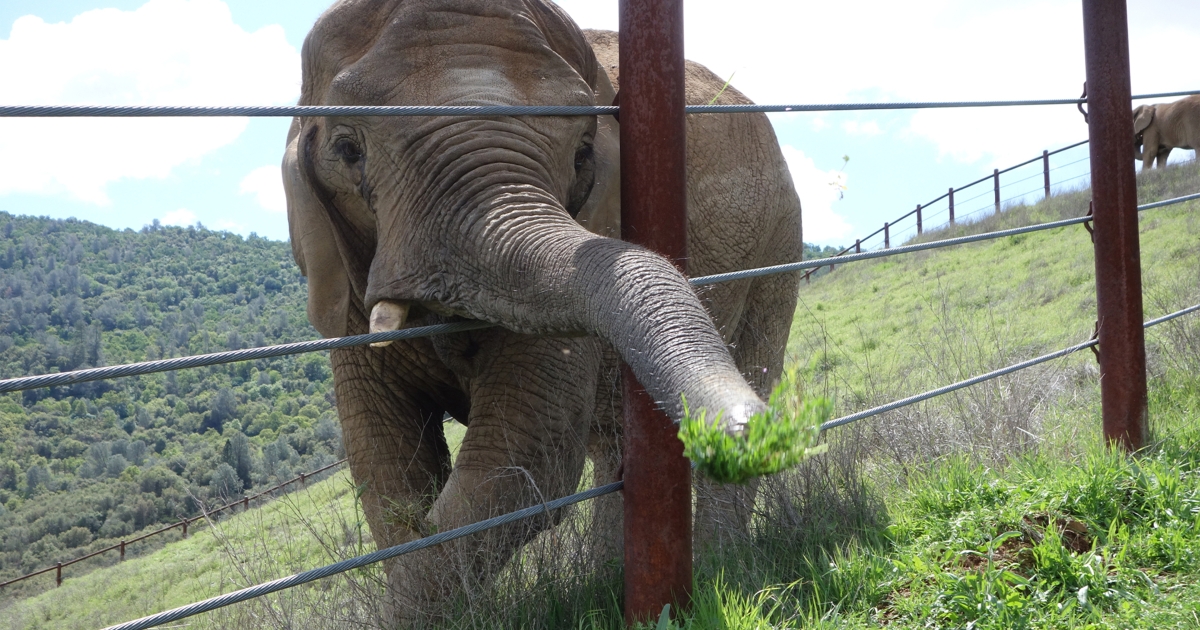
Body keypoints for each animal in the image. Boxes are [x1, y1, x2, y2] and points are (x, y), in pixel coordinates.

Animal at [283, 0, 803, 619]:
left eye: (582, 152)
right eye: (347, 149)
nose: (754, 430)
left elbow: (524, 458)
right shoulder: (344, 292)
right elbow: (384, 463)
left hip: (778, 242)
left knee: (753, 358)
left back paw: (725, 563)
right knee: (614, 443)